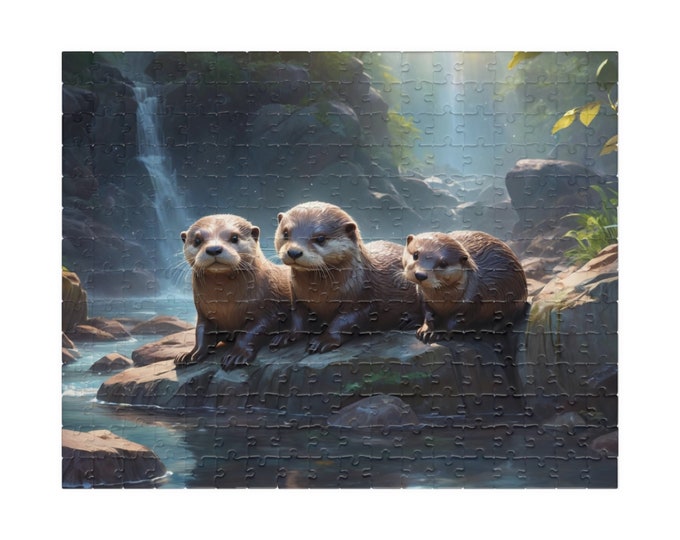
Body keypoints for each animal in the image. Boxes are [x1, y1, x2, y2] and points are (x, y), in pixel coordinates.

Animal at [175, 214, 291, 370]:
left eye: (234, 237)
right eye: (197, 240)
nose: (214, 249)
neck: (227, 303)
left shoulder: (268, 309)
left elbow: (250, 333)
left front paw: (236, 355)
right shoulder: (204, 314)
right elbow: (201, 333)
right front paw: (190, 354)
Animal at [272, 201, 419, 353]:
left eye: (320, 238)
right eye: (285, 233)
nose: (294, 252)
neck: (320, 294)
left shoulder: (361, 299)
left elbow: (344, 322)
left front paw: (323, 340)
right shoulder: (297, 298)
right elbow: (298, 319)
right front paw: (286, 335)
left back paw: (410, 321)